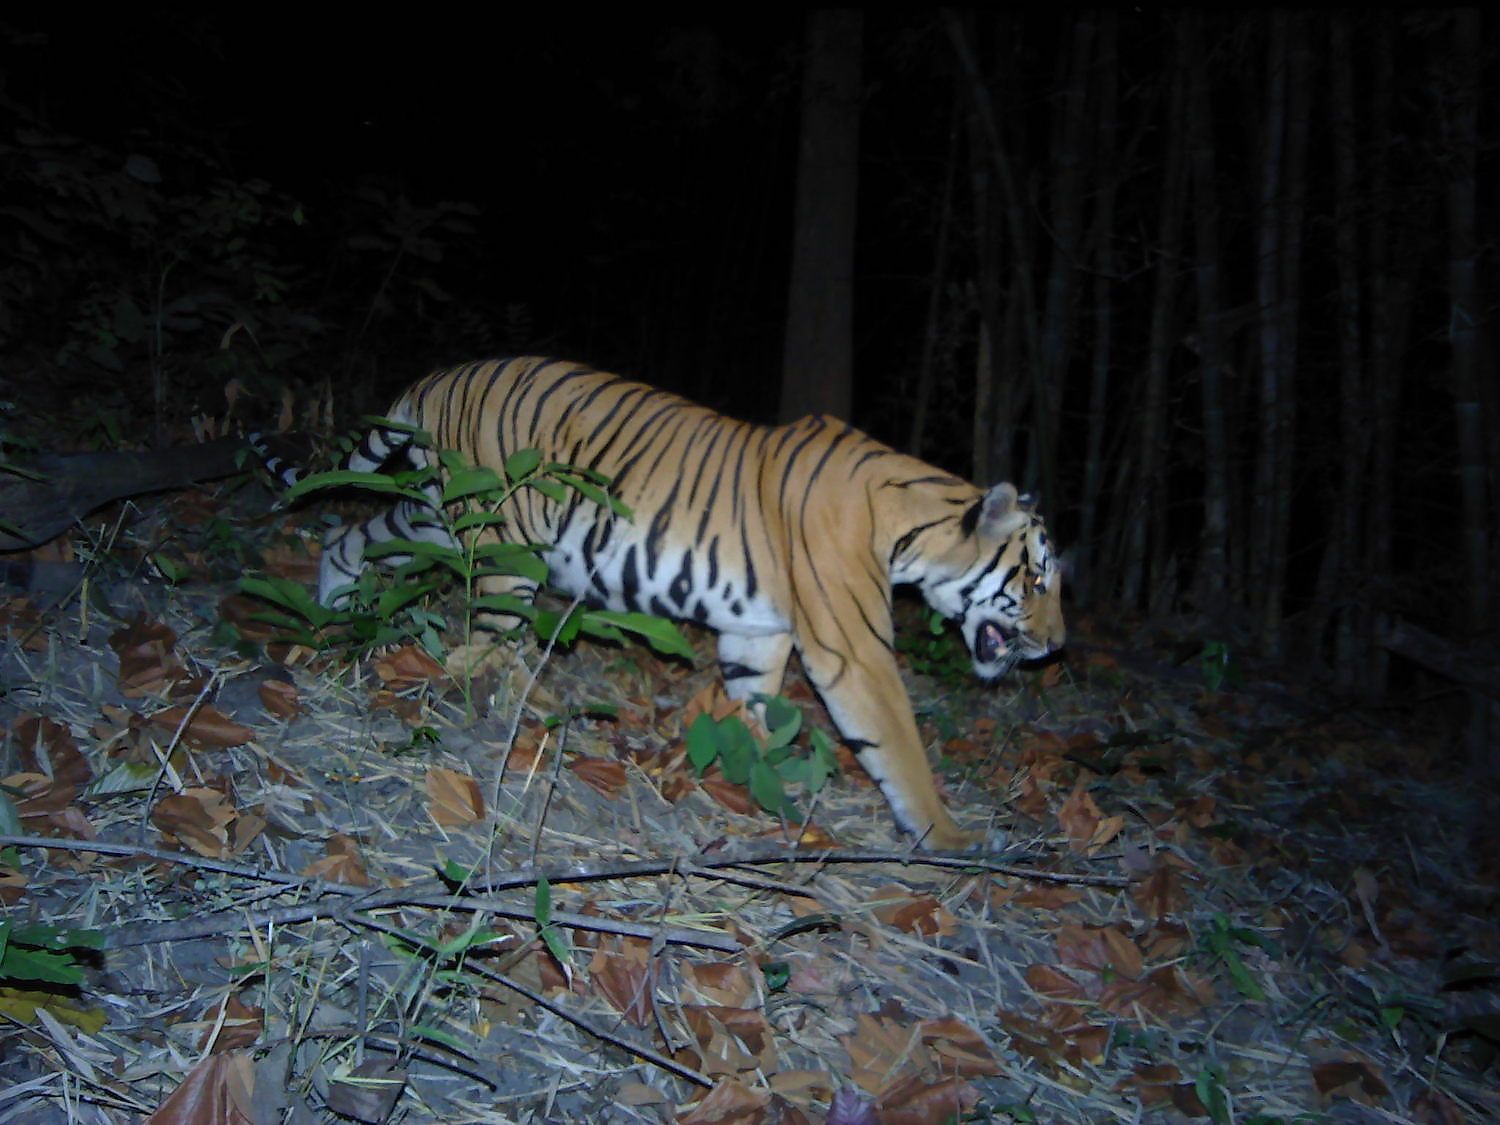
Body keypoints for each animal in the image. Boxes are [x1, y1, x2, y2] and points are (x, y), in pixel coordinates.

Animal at [258, 357, 1065, 848]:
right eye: (1036, 580)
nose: (1057, 646)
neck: (914, 528)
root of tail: (437, 376)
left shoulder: (758, 631)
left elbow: (757, 711)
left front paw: (752, 779)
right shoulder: (853, 651)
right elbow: (899, 745)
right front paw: (950, 838)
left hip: (434, 511)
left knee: (352, 533)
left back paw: (330, 610)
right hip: (505, 543)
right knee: (485, 643)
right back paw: (514, 712)